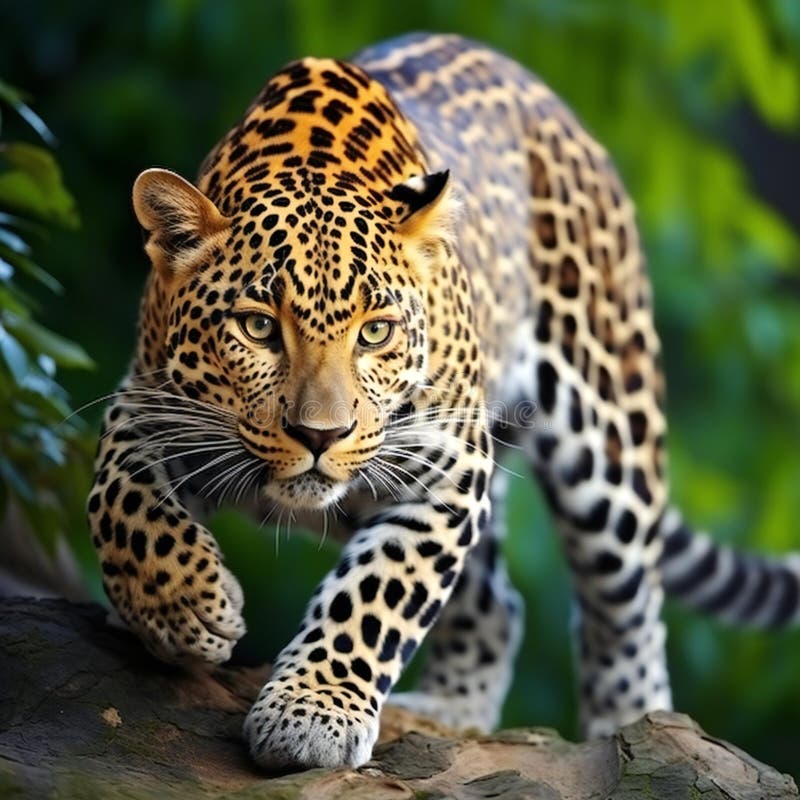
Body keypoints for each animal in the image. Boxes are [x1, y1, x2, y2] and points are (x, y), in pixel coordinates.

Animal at [87, 32, 800, 771]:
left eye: (376, 332)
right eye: (258, 327)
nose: (320, 435)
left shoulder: (450, 473)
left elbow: (375, 596)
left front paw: (311, 712)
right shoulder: (143, 405)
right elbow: (123, 500)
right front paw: (183, 611)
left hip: (608, 441)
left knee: (627, 605)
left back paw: (636, 731)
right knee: (500, 606)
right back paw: (447, 714)